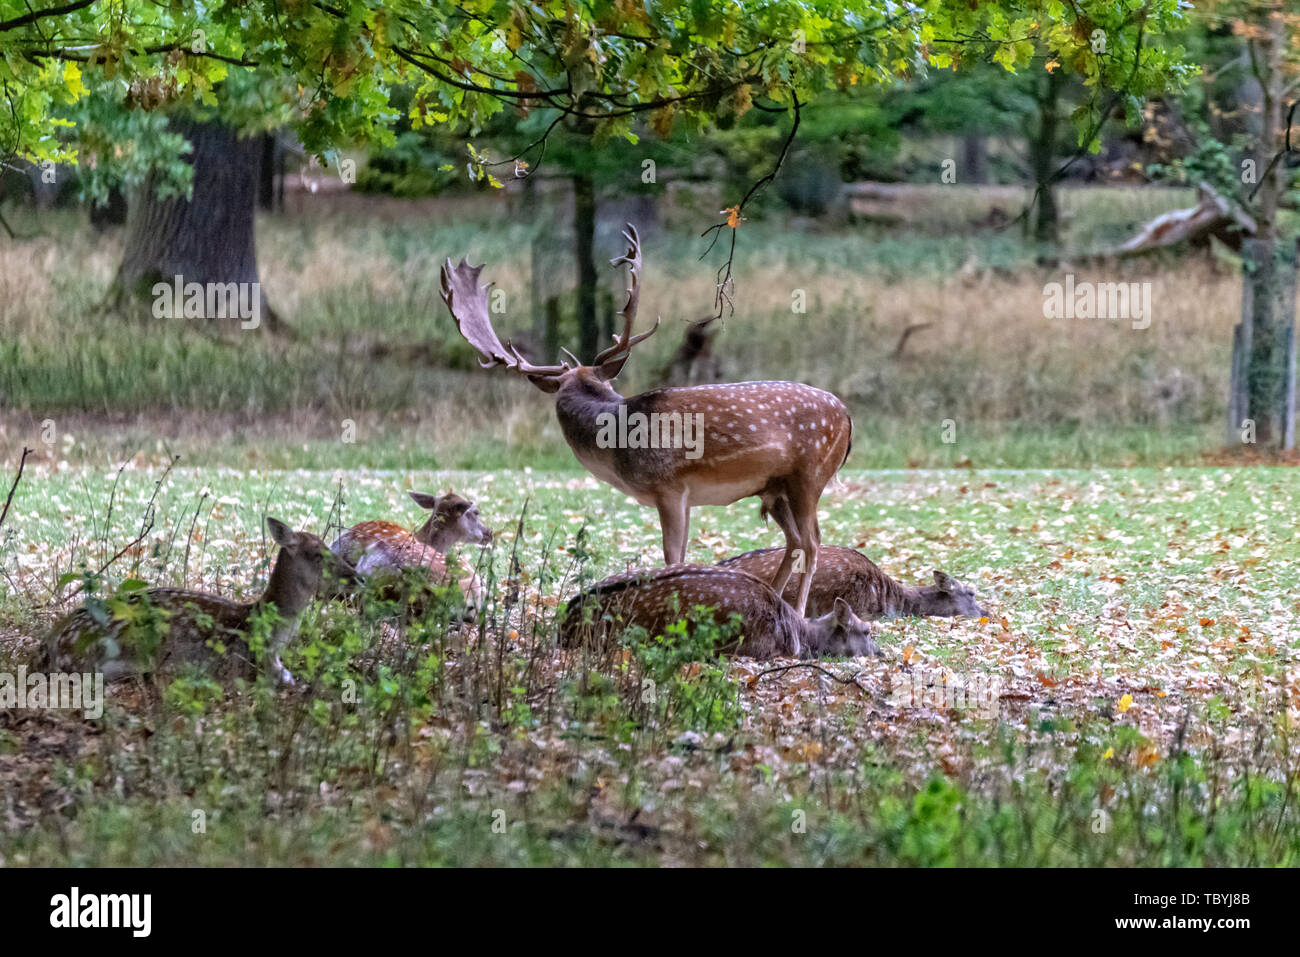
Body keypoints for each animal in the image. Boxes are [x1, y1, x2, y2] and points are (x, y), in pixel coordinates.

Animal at [441, 224, 852, 616]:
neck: (617, 448)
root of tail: (848, 417)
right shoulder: (684, 497)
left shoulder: (669, 486)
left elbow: (672, 555)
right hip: (774, 487)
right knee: (795, 541)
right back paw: (774, 599)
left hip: (809, 472)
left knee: (812, 542)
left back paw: (797, 611)